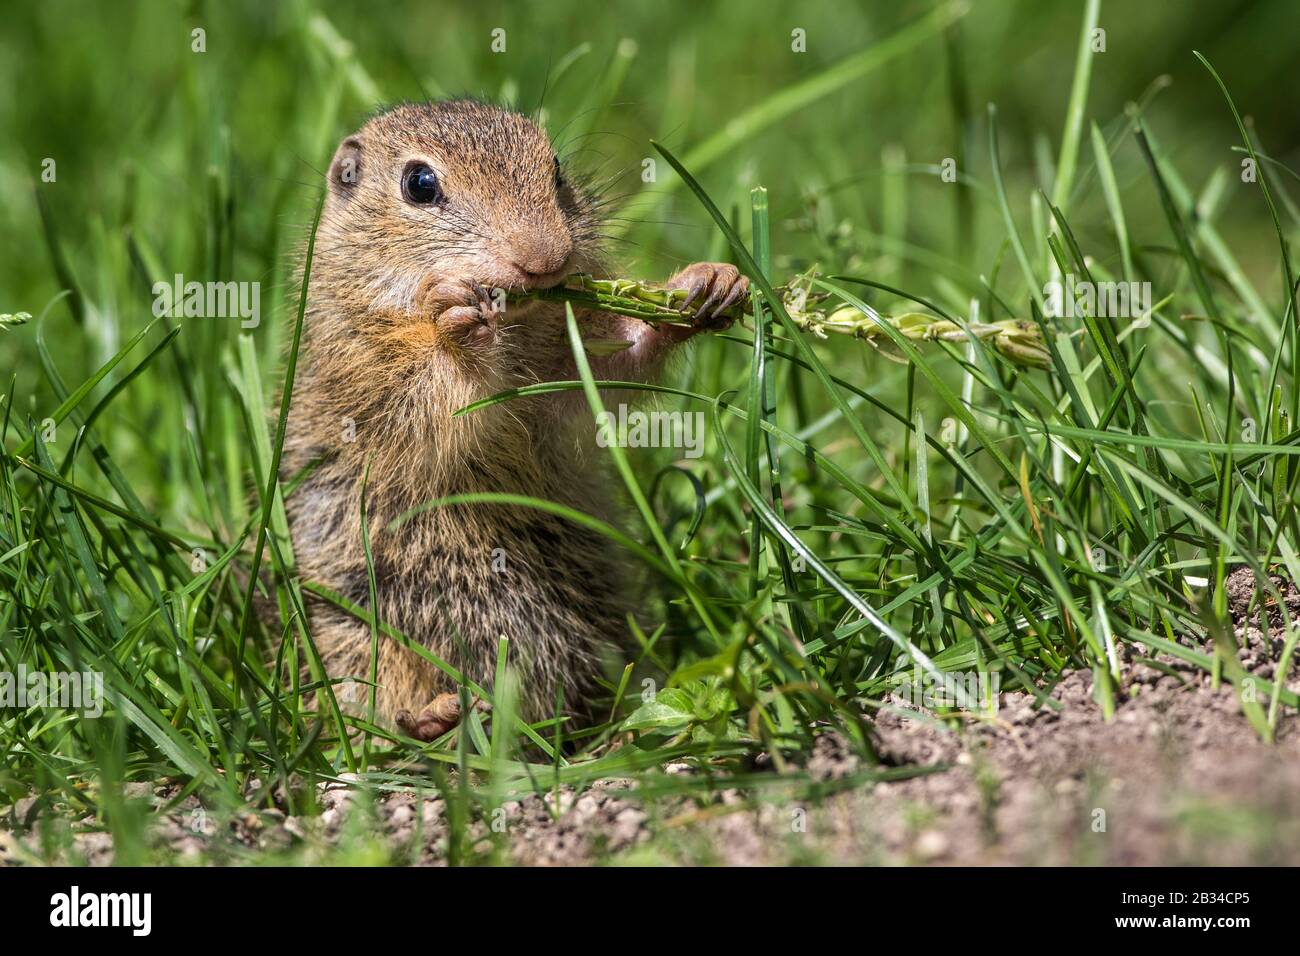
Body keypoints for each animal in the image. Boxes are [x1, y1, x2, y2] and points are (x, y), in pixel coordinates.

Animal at [281, 99, 748, 741]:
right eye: (419, 184)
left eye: (556, 169)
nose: (544, 259)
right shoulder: (362, 371)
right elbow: (424, 412)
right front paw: (456, 325)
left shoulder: (558, 366)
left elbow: (605, 372)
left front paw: (702, 286)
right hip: (356, 637)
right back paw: (433, 719)